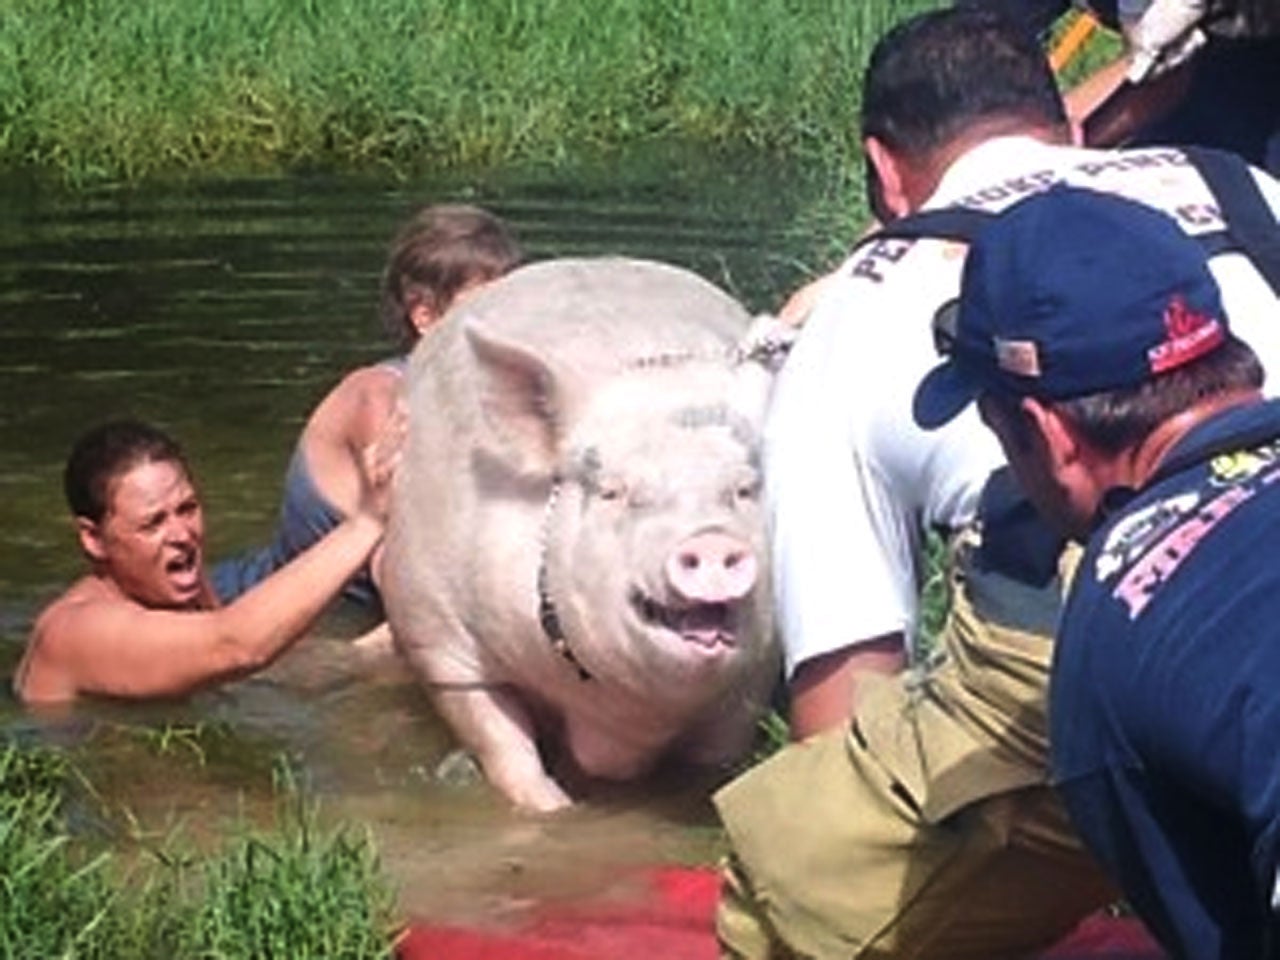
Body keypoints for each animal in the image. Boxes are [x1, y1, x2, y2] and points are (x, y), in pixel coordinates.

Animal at [380, 257, 781, 812]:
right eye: (613, 490)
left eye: (743, 488)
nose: (710, 540)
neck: (624, 715)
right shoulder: (436, 635)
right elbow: (500, 742)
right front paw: (555, 809)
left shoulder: (756, 678)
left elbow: (716, 762)